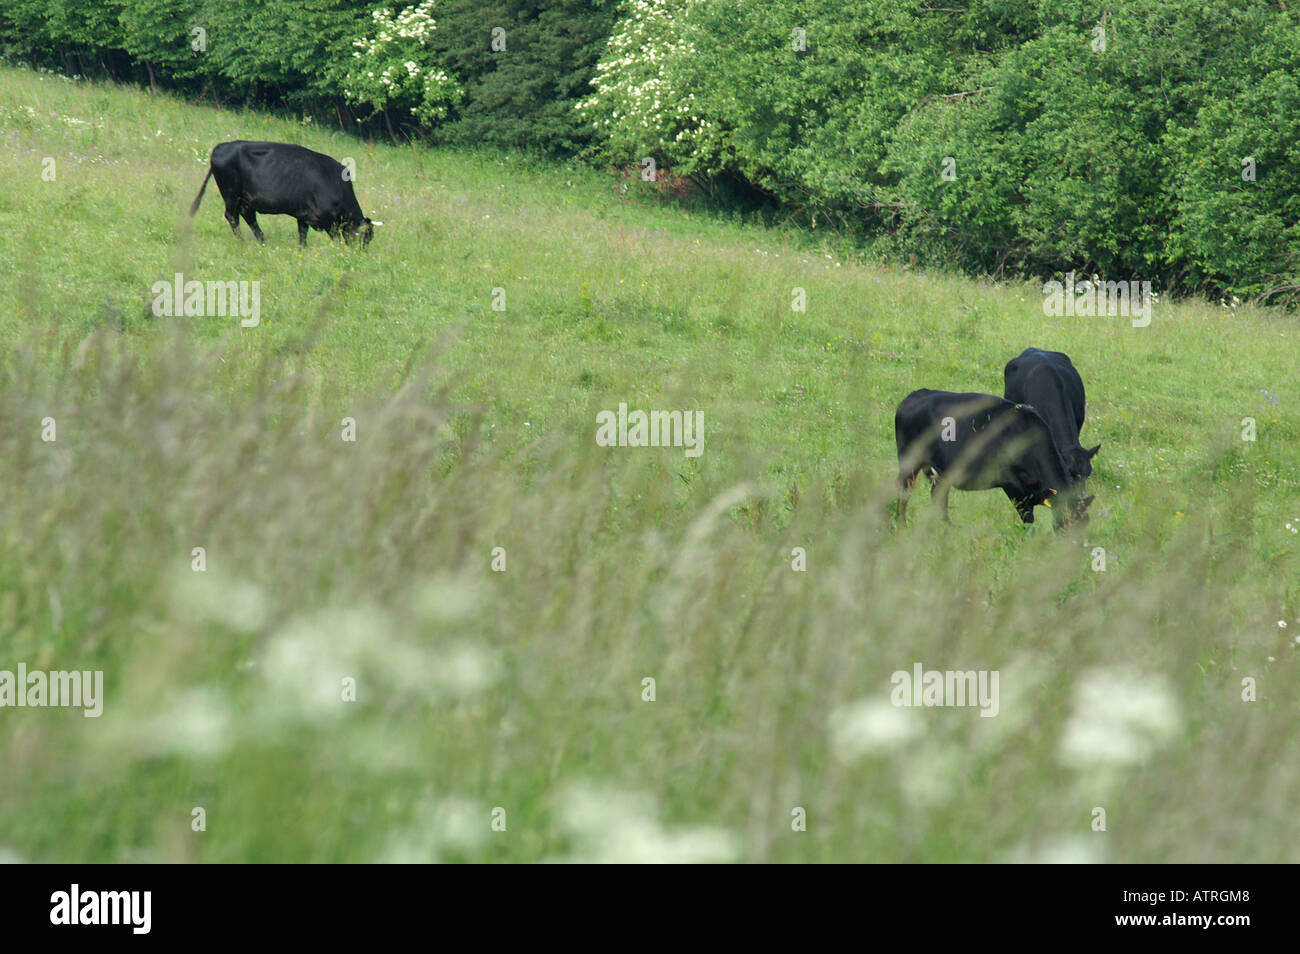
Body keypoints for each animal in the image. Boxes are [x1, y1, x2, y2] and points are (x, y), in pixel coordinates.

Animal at [189, 141, 378, 247]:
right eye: (365, 238)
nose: (360, 254)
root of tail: (221, 146)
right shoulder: (326, 221)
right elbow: (335, 239)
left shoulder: (304, 215)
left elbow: (302, 235)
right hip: (230, 193)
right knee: (232, 216)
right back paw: (242, 242)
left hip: (245, 198)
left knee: (248, 216)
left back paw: (262, 241)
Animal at [894, 389, 1094, 530]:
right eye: (1068, 524)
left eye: (1085, 525)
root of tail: (915, 395)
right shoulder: (1012, 485)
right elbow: (1028, 520)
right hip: (909, 463)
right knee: (903, 494)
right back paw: (900, 528)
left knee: (938, 498)